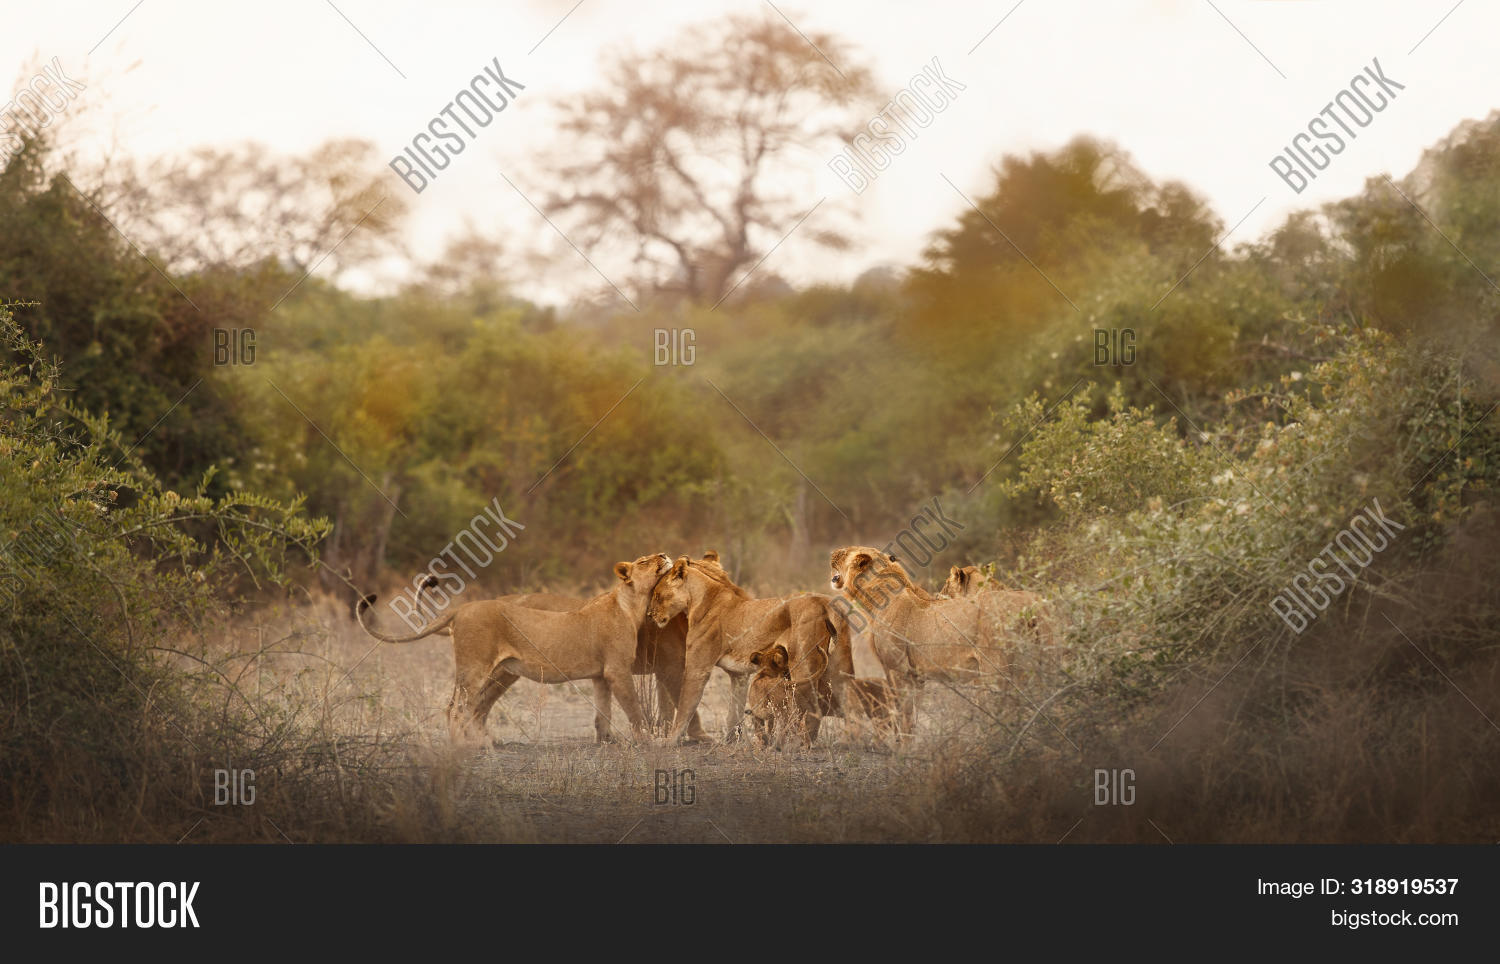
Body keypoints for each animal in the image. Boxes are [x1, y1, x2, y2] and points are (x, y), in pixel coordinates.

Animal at [356, 553, 673, 743]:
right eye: (644, 561)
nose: (664, 555)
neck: (631, 604)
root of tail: (461, 609)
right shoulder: (617, 670)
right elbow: (634, 708)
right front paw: (646, 741)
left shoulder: (601, 675)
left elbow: (603, 711)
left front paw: (607, 741)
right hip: (475, 667)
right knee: (457, 707)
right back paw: (465, 745)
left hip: (499, 671)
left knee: (475, 706)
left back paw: (482, 741)